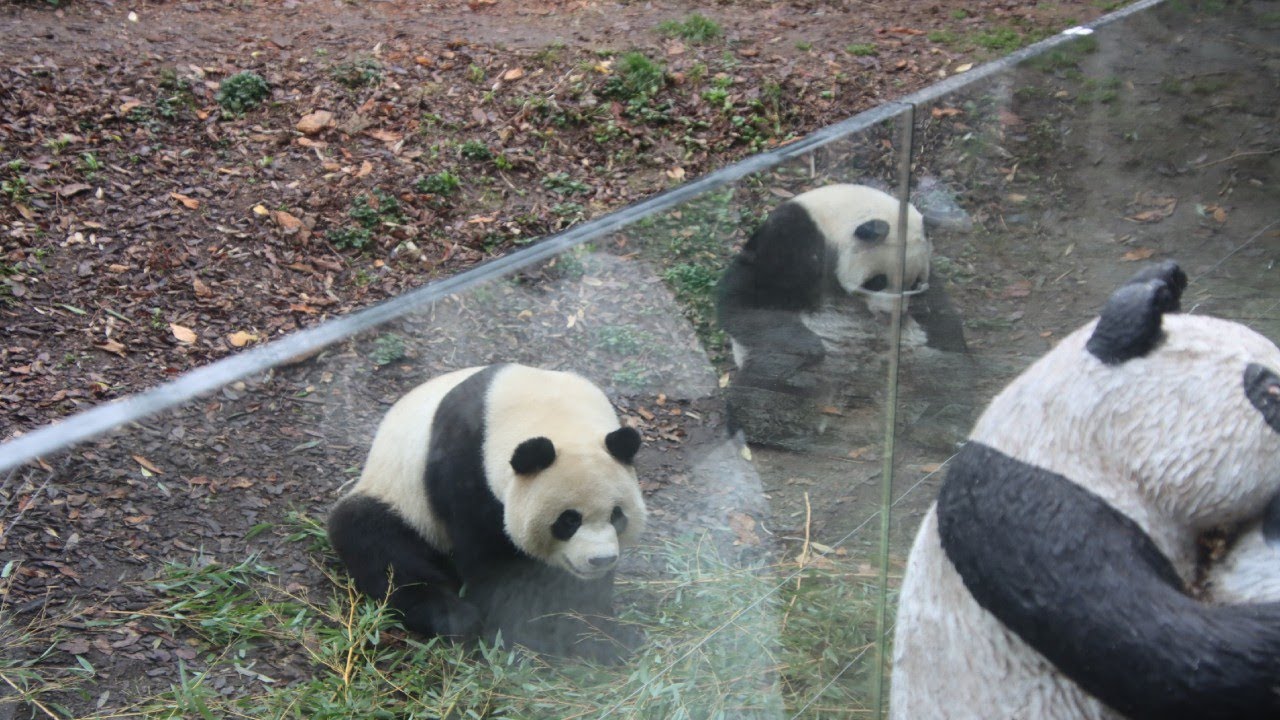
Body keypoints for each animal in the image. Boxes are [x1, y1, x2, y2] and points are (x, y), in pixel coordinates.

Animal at [327, 363, 647, 663]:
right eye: (568, 520)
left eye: (616, 516)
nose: (600, 559)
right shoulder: (466, 466)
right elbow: (492, 563)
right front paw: (531, 634)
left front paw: (602, 633)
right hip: (400, 498)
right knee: (378, 545)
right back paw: (455, 616)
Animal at [715, 183, 968, 446]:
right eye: (878, 281)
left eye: (915, 283)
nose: (891, 314)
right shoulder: (792, 239)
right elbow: (743, 301)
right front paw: (808, 344)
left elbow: (940, 314)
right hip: (811, 370)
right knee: (768, 381)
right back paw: (768, 425)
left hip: (915, 362)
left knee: (954, 379)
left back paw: (942, 425)